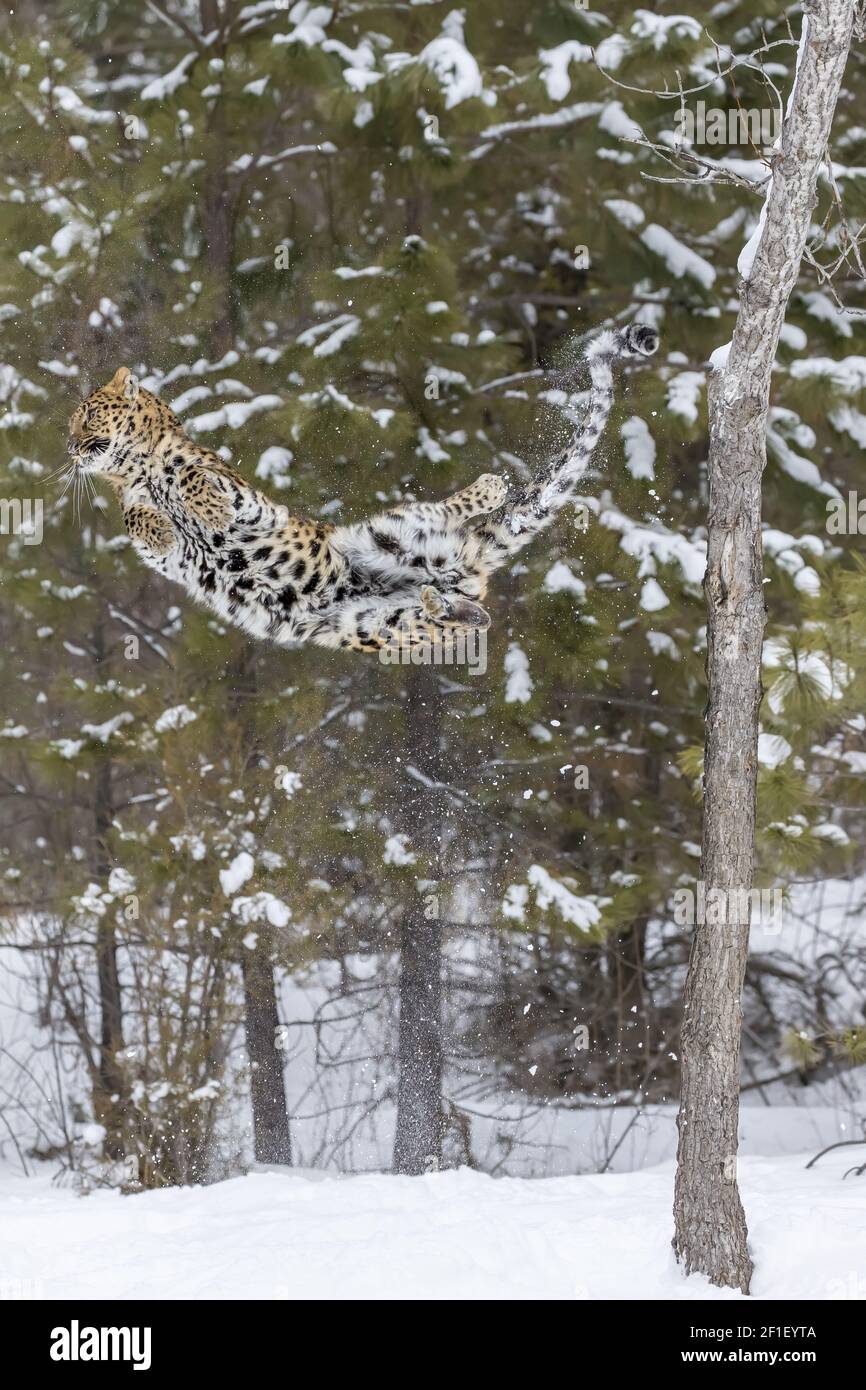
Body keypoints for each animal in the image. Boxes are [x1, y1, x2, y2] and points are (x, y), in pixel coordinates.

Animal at [65, 322, 658, 655]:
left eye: (88, 414)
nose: (69, 446)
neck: (136, 467)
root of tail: (460, 566)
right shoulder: (159, 548)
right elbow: (138, 520)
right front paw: (161, 527)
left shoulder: (244, 499)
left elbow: (192, 478)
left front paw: (202, 506)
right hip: (379, 625)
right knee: (471, 619)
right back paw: (441, 604)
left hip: (383, 532)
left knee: (444, 512)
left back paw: (487, 489)